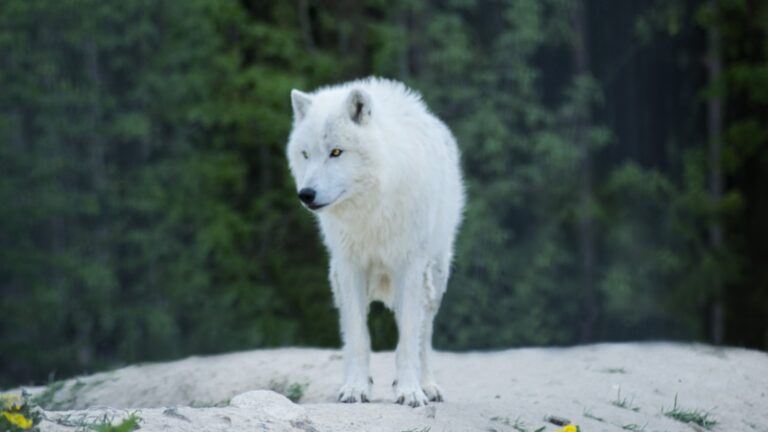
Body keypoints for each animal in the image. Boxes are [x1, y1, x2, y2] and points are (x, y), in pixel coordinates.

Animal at [286, 77, 465, 407]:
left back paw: (428, 385)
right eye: (305, 154)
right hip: (337, 280)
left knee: (424, 334)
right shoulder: (350, 266)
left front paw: (410, 391)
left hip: (434, 276)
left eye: (336, 152)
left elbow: (408, 340)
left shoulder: (410, 266)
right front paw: (356, 388)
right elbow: (358, 337)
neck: (369, 208)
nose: (305, 194)